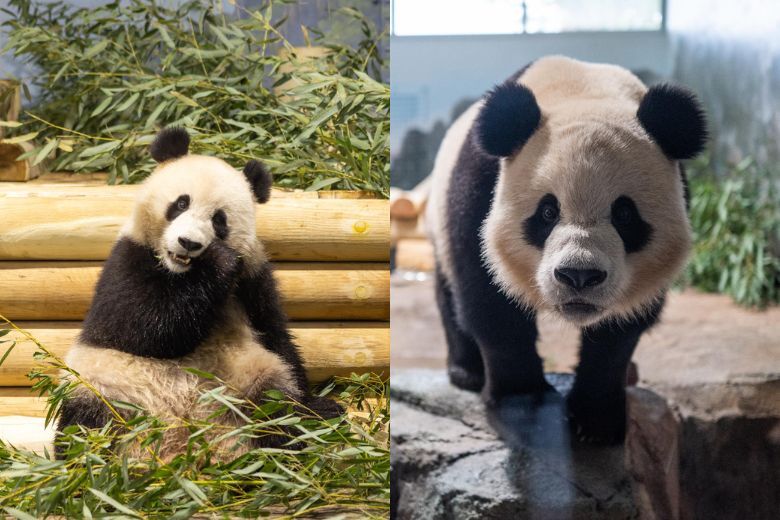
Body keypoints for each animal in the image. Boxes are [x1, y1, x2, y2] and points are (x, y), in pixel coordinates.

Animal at [57, 127, 342, 459]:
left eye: (219, 219)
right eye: (181, 204)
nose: (189, 243)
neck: (185, 275)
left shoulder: (253, 281)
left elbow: (277, 337)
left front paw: (321, 407)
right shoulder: (127, 260)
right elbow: (142, 329)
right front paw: (219, 261)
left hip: (250, 382)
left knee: (275, 411)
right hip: (108, 388)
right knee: (87, 425)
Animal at [426, 56, 706, 444]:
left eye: (624, 214)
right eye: (548, 212)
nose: (579, 275)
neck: (583, 91)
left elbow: (620, 331)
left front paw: (597, 419)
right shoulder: (480, 186)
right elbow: (488, 296)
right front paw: (521, 400)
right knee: (449, 292)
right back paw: (466, 371)